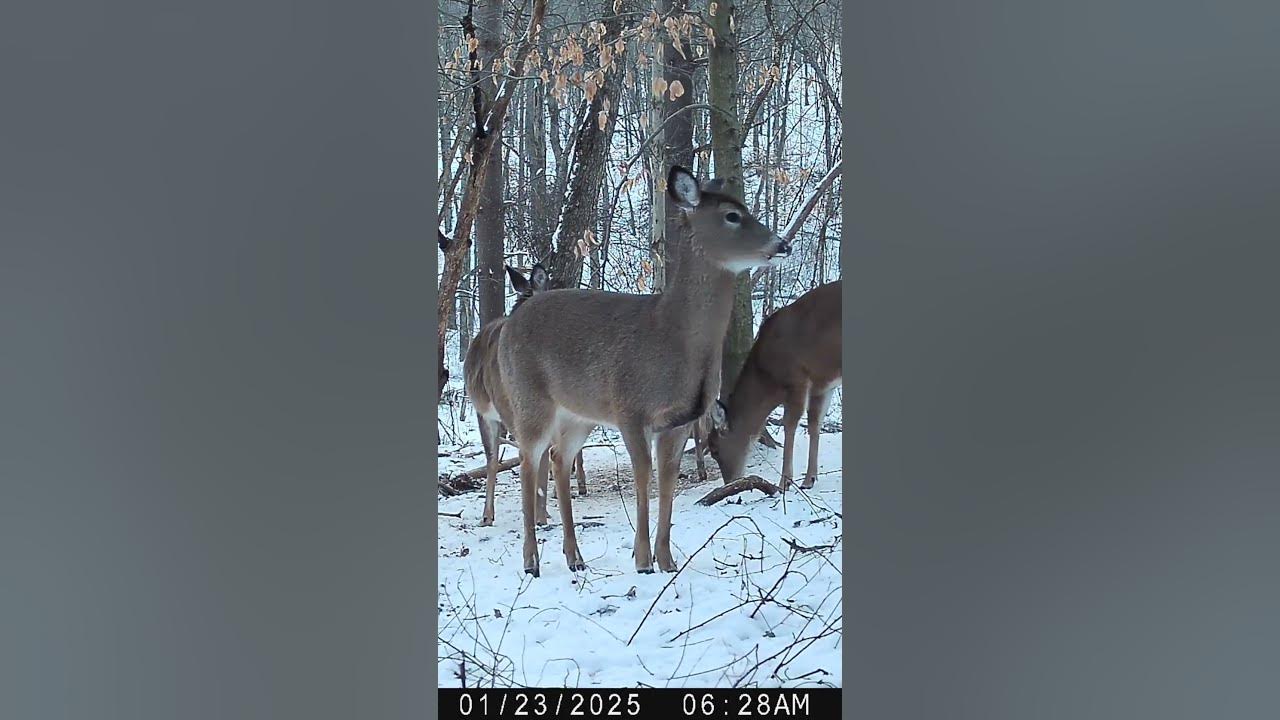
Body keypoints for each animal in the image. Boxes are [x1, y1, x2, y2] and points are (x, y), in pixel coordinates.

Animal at [497, 166, 790, 576]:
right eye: (732, 216)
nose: (783, 245)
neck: (672, 337)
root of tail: (509, 323)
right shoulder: (630, 409)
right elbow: (643, 476)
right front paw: (642, 560)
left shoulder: (680, 421)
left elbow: (666, 480)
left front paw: (666, 560)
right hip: (529, 398)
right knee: (528, 461)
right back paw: (531, 562)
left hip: (579, 415)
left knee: (558, 459)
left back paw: (575, 558)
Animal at [706, 280, 841, 490]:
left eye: (715, 449)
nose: (730, 483)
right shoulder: (822, 385)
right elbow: (814, 424)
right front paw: (809, 479)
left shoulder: (797, 378)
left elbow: (790, 426)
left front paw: (785, 481)